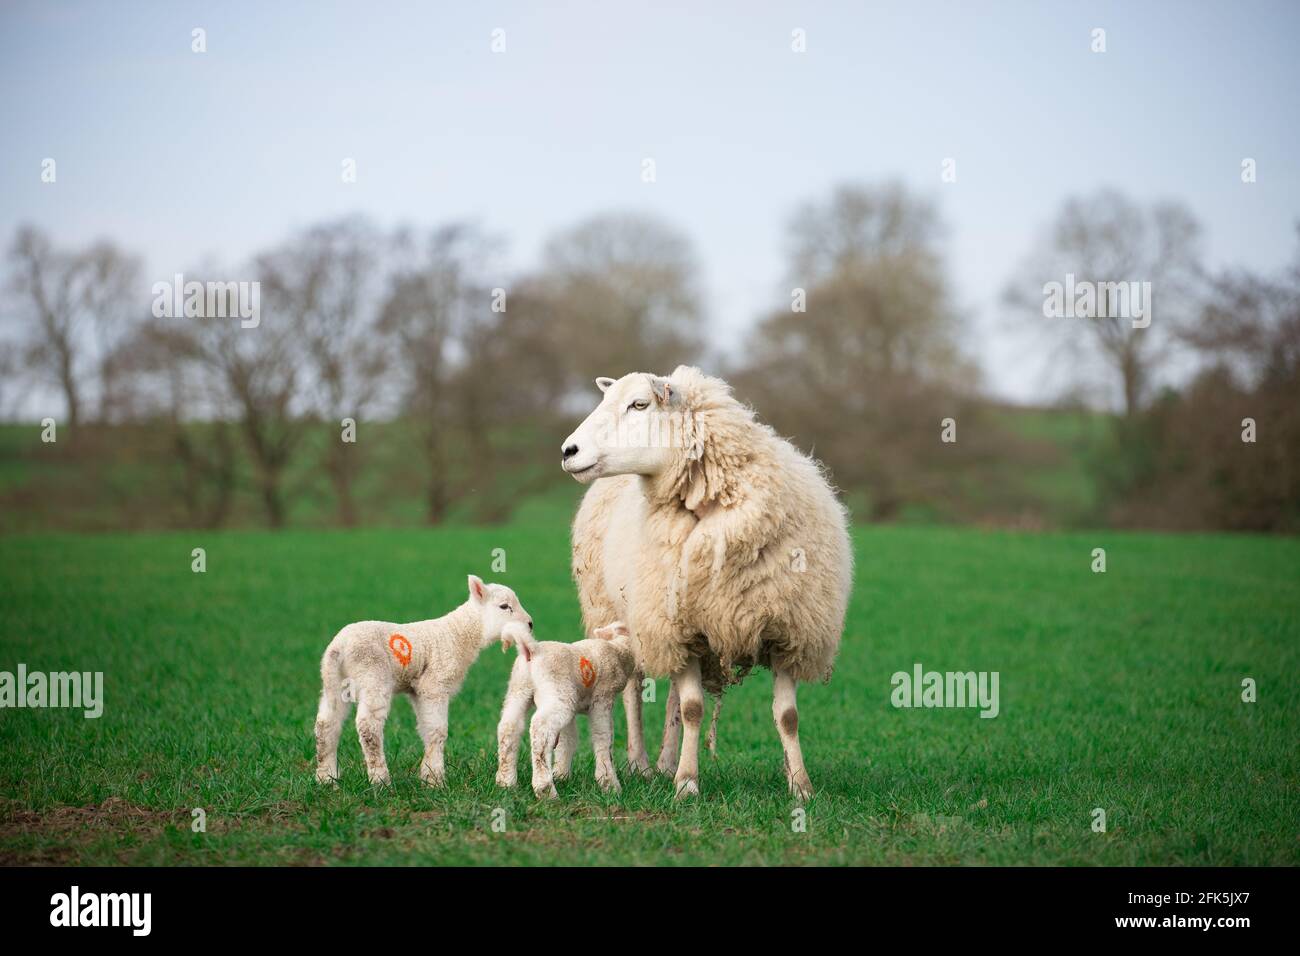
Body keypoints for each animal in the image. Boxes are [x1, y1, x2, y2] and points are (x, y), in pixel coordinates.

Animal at [314, 575, 533, 787]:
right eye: (504, 606)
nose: (530, 624)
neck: (459, 634)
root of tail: (339, 646)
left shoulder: (418, 690)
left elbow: (427, 730)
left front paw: (427, 775)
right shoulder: (435, 684)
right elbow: (438, 730)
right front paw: (436, 781)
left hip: (334, 681)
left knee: (326, 723)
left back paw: (326, 778)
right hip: (372, 675)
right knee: (369, 726)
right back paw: (380, 780)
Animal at [495, 621, 639, 798]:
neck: (618, 651)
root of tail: (532, 650)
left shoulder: (574, 709)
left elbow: (567, 740)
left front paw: (562, 775)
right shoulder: (602, 699)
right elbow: (604, 737)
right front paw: (610, 785)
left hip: (519, 690)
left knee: (509, 727)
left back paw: (506, 783)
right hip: (558, 693)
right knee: (540, 729)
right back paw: (546, 790)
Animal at [564, 366, 853, 801]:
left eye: (639, 404)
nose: (568, 451)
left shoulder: (786, 630)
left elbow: (786, 716)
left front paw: (800, 785)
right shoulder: (674, 627)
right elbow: (693, 709)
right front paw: (687, 784)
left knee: (670, 697)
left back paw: (665, 762)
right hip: (621, 614)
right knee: (632, 688)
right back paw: (640, 763)